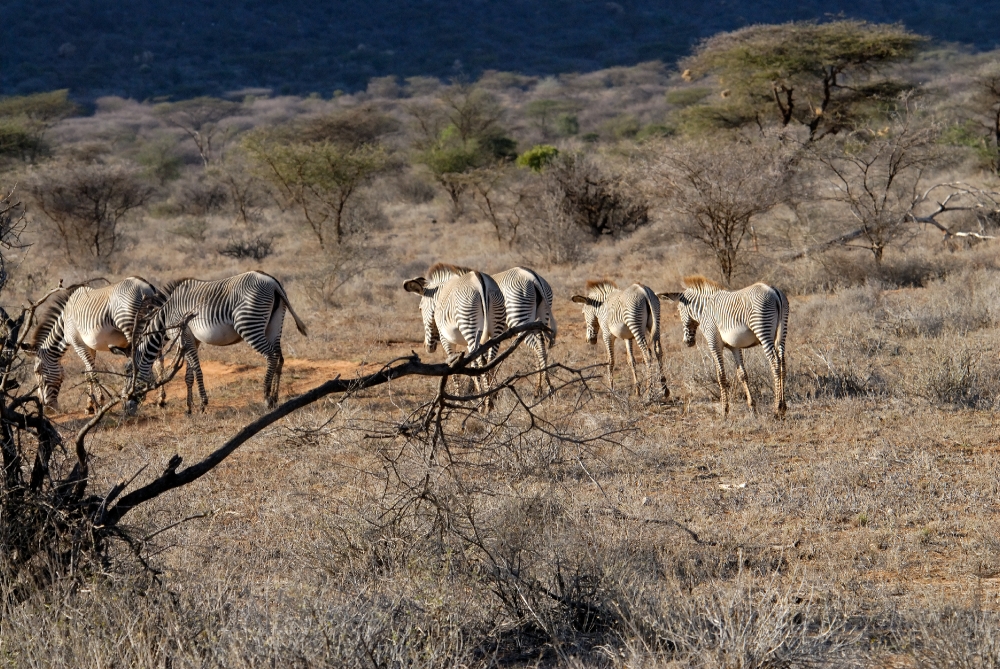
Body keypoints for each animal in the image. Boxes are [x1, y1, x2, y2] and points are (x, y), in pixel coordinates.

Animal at [24, 277, 160, 413]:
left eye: (37, 371)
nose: (47, 408)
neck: (64, 323)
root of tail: (145, 286)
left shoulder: (78, 344)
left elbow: (92, 373)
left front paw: (100, 403)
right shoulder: (89, 346)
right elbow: (88, 373)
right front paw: (89, 406)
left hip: (131, 326)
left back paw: (140, 393)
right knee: (156, 357)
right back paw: (159, 396)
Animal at [124, 271, 307, 414]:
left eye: (128, 374)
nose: (126, 407)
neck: (164, 318)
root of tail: (272, 282)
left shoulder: (182, 335)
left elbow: (197, 370)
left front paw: (202, 405)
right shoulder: (192, 339)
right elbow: (189, 375)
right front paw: (189, 408)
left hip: (248, 324)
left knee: (271, 356)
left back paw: (267, 397)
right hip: (275, 324)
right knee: (279, 357)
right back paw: (275, 398)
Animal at [403, 263, 506, 409]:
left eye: (420, 308)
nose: (426, 347)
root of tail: (480, 279)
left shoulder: (445, 339)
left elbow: (454, 368)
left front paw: (459, 399)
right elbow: (472, 364)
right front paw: (474, 392)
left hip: (469, 323)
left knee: (480, 361)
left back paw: (486, 403)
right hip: (496, 326)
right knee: (490, 360)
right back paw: (489, 396)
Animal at [494, 267, 557, 396]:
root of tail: (532, 276)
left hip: (520, 316)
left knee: (537, 348)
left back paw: (544, 385)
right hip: (541, 317)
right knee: (540, 346)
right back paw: (542, 387)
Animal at [659, 275, 788, 417]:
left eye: (679, 310)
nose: (687, 342)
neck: (704, 310)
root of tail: (773, 290)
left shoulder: (713, 342)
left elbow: (721, 375)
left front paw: (724, 410)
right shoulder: (735, 346)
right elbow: (742, 374)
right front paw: (752, 407)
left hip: (762, 328)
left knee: (775, 362)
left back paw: (777, 408)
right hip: (782, 333)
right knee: (782, 363)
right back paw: (783, 407)